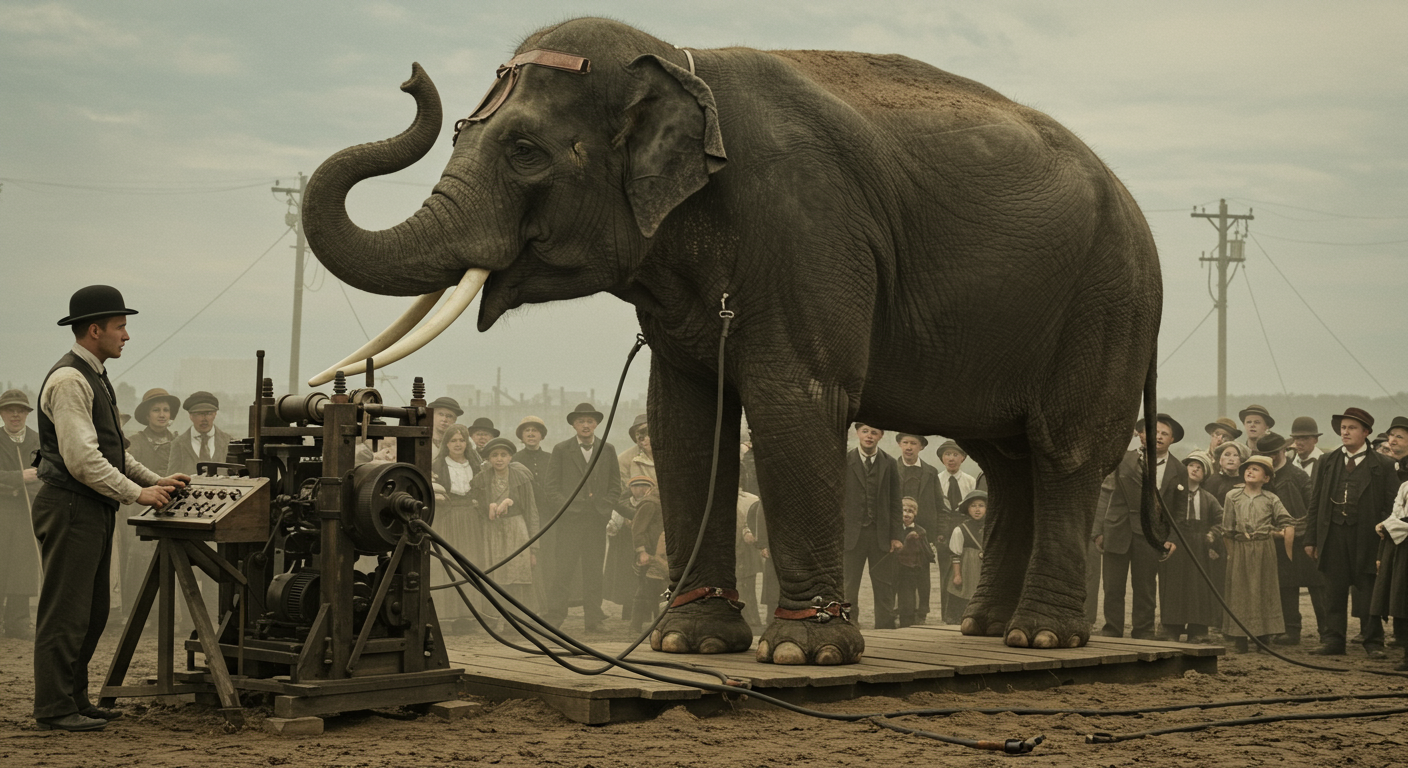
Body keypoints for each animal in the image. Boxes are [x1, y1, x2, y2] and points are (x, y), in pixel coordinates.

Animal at [301, 17, 1166, 665]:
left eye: (524, 150)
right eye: (459, 131)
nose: (411, 79)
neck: (685, 62)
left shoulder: (811, 233)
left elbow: (795, 402)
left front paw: (802, 654)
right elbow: (682, 420)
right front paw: (690, 644)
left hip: (1106, 306)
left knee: (1062, 453)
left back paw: (1043, 636)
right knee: (1007, 459)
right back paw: (988, 630)